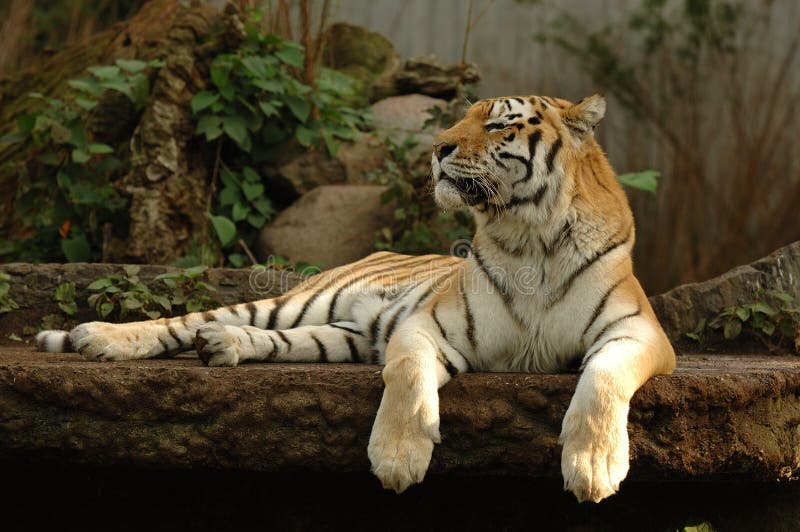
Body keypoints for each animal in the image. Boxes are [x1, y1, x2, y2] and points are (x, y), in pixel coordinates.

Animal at [37, 93, 676, 503]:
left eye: (498, 126)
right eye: (459, 119)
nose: (437, 149)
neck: (531, 236)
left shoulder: (637, 331)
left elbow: (602, 382)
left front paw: (593, 467)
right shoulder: (428, 325)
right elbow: (408, 378)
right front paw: (397, 459)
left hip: (336, 336)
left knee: (270, 339)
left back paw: (222, 346)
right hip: (301, 302)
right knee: (183, 320)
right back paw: (99, 338)